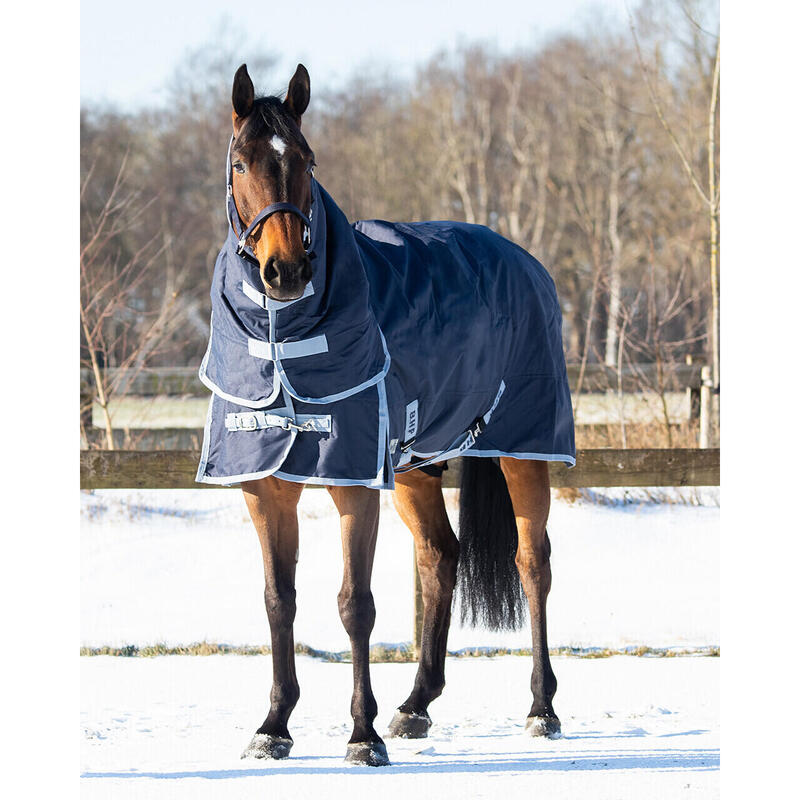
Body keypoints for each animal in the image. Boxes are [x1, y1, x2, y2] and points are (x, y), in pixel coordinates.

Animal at [196, 63, 576, 767]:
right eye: (240, 162)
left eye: (307, 160)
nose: (286, 271)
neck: (282, 343)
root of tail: (523, 260)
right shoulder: (265, 488)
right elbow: (277, 600)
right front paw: (274, 725)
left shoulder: (354, 484)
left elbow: (356, 605)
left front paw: (361, 735)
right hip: (416, 468)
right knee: (440, 556)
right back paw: (416, 705)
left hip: (523, 448)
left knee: (532, 565)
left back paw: (542, 708)